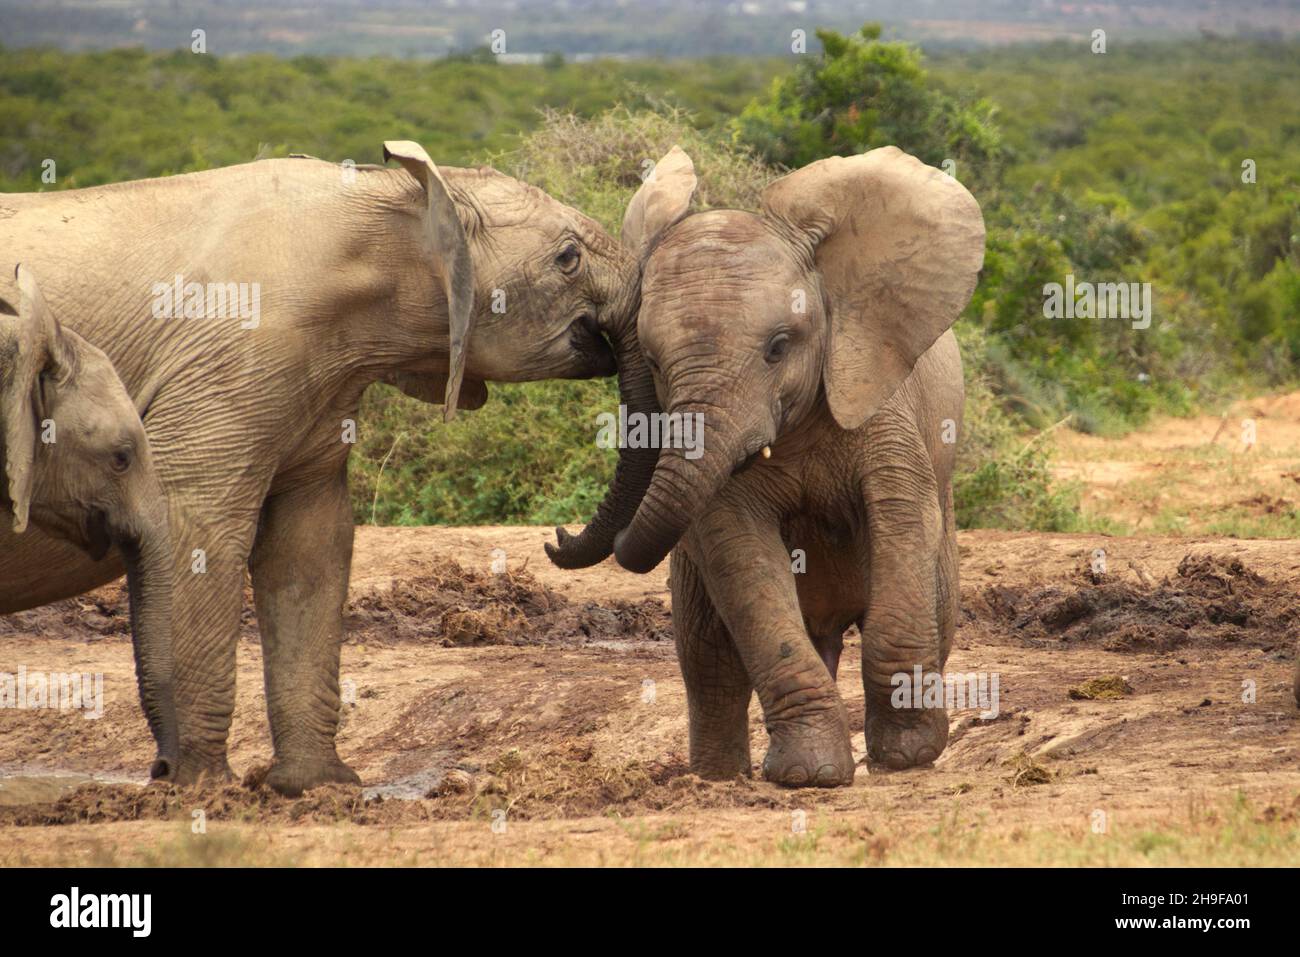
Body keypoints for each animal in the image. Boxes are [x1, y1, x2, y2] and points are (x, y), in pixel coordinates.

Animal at [554, 146, 985, 787]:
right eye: (651, 360)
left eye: (779, 347)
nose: (558, 537)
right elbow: (740, 557)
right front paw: (811, 775)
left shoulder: (877, 392)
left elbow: (901, 516)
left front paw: (906, 755)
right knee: (709, 662)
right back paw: (720, 778)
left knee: (935, 600)